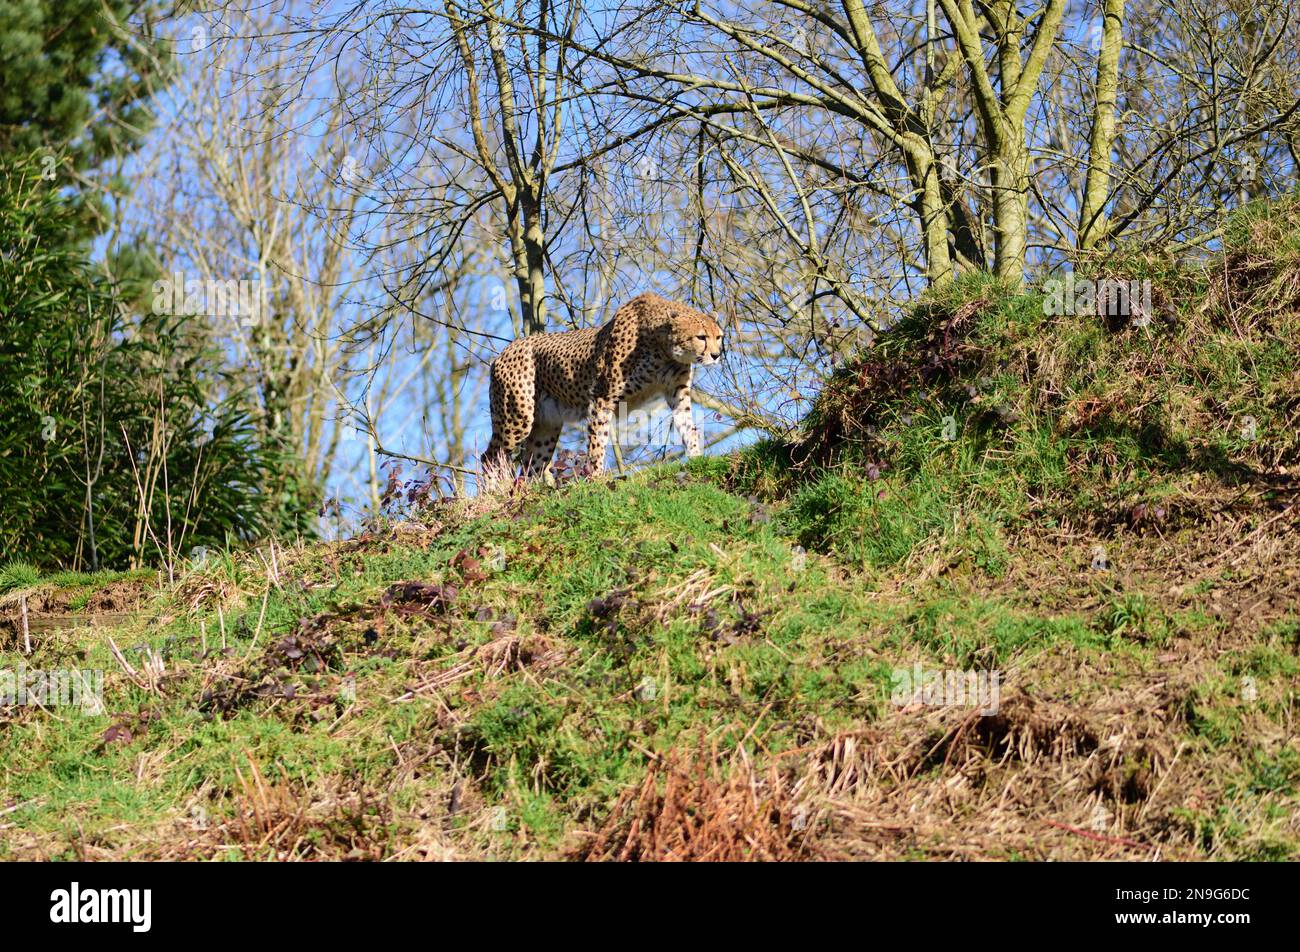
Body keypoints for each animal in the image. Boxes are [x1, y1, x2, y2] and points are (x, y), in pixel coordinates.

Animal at [482, 292, 724, 478]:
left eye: (719, 337)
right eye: (701, 337)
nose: (716, 355)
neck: (664, 349)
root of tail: (502, 353)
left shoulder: (677, 392)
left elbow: (688, 427)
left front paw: (696, 458)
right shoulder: (601, 397)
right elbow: (597, 441)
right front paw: (596, 478)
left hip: (547, 425)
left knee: (530, 465)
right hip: (518, 417)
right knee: (490, 457)